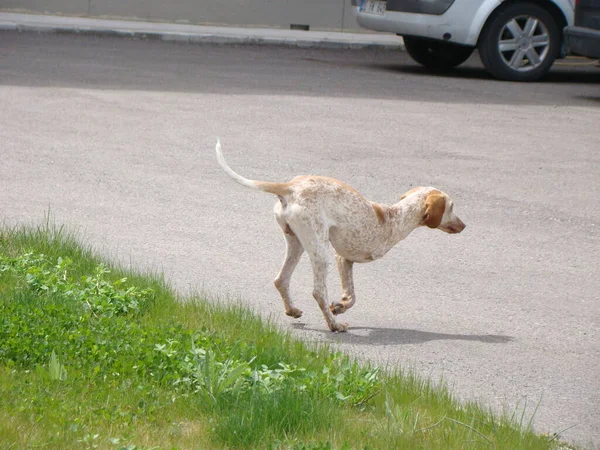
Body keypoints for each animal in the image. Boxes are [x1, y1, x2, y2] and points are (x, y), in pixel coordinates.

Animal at [216, 139, 464, 332]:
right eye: (452, 206)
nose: (464, 225)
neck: (393, 217)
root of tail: (291, 186)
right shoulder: (343, 256)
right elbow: (350, 295)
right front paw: (339, 309)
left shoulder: (344, 258)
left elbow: (351, 295)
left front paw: (341, 305)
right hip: (320, 251)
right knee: (317, 292)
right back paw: (333, 325)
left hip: (297, 243)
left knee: (281, 280)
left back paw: (293, 310)